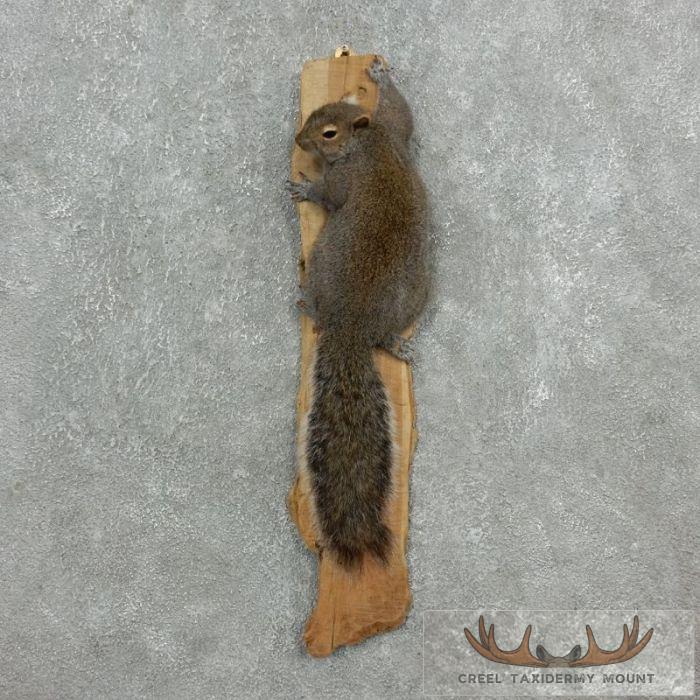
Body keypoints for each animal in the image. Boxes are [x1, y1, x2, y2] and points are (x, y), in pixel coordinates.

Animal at [287, 58, 430, 570]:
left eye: (327, 133)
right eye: (321, 109)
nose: (299, 138)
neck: (367, 141)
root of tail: (352, 327)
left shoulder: (346, 176)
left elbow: (329, 195)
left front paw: (305, 186)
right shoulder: (394, 128)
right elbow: (403, 112)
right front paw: (382, 75)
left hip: (322, 263)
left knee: (319, 309)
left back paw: (307, 302)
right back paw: (399, 346)